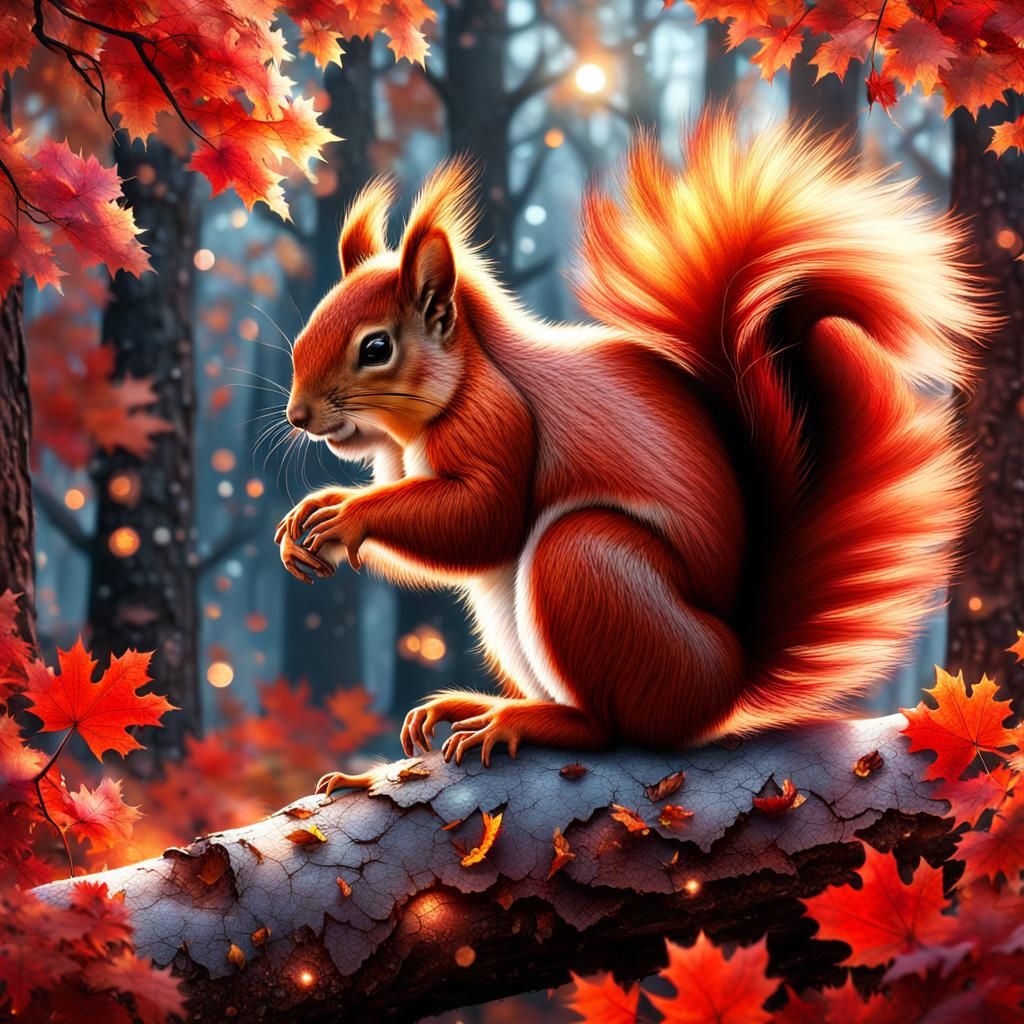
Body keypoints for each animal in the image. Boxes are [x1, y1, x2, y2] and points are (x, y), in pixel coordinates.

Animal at [276, 111, 990, 793]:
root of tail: (725, 686)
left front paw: (347, 512)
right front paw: (312, 518)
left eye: (376, 348)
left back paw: (519, 719)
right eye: (309, 326)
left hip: (588, 563)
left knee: (608, 728)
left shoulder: (499, 419)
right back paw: (469, 704)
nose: (297, 417)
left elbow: (482, 520)